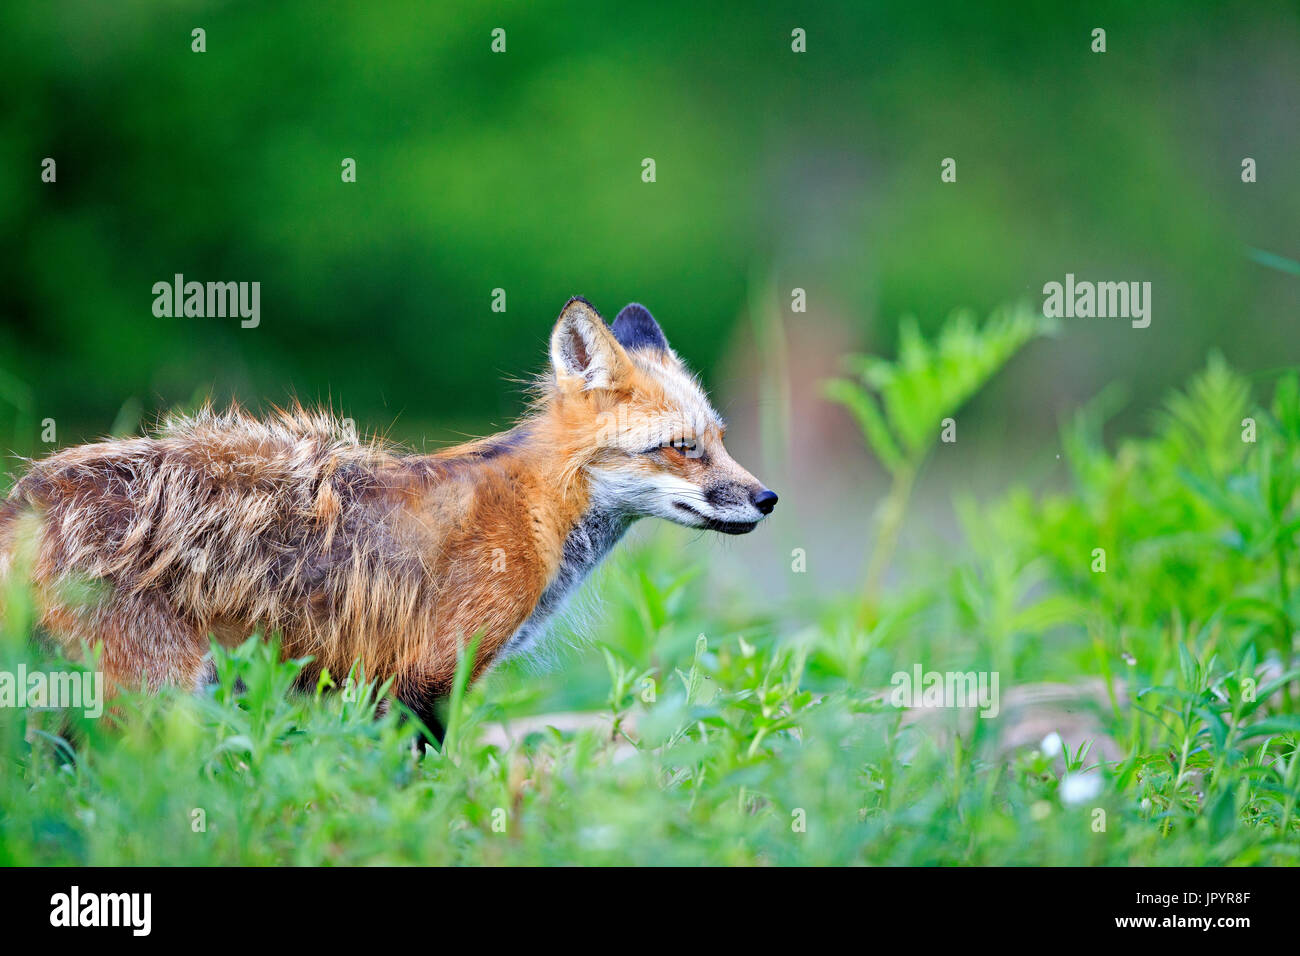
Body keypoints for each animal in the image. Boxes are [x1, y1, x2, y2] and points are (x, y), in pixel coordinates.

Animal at [0, 297, 777, 738]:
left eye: (720, 439)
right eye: (681, 448)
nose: (767, 499)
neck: (535, 511)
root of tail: (30, 488)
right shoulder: (425, 678)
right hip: (155, 698)